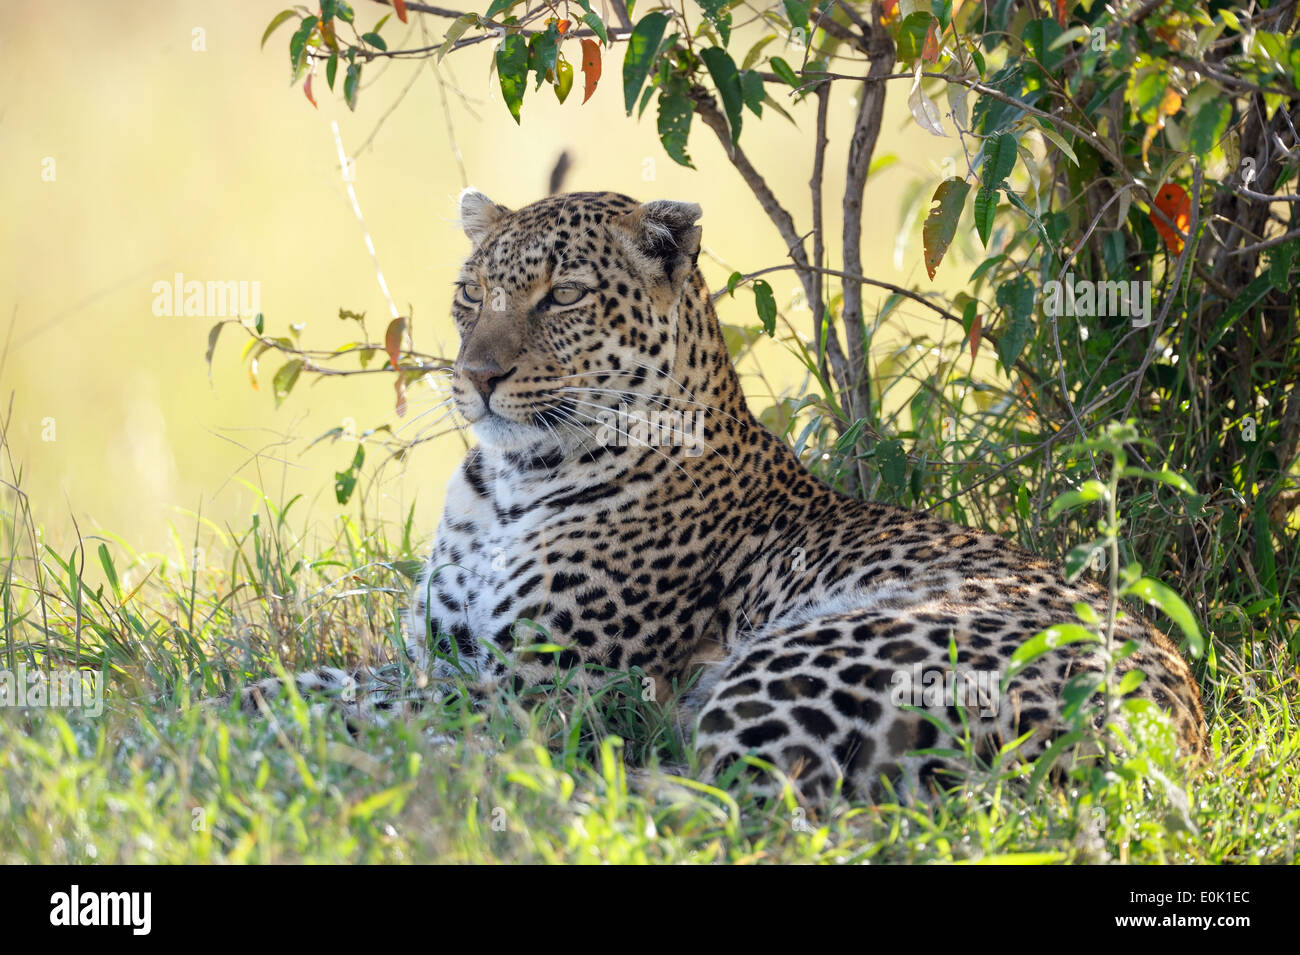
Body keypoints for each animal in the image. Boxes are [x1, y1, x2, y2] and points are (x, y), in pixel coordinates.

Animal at [239, 188, 1206, 803]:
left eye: (563, 295)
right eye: (470, 294)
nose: (475, 377)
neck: (511, 482)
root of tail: (1161, 746)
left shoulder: (536, 683)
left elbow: (369, 705)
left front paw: (260, 738)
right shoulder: (438, 654)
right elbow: (321, 678)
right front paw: (240, 709)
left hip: (809, 655)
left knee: (730, 804)